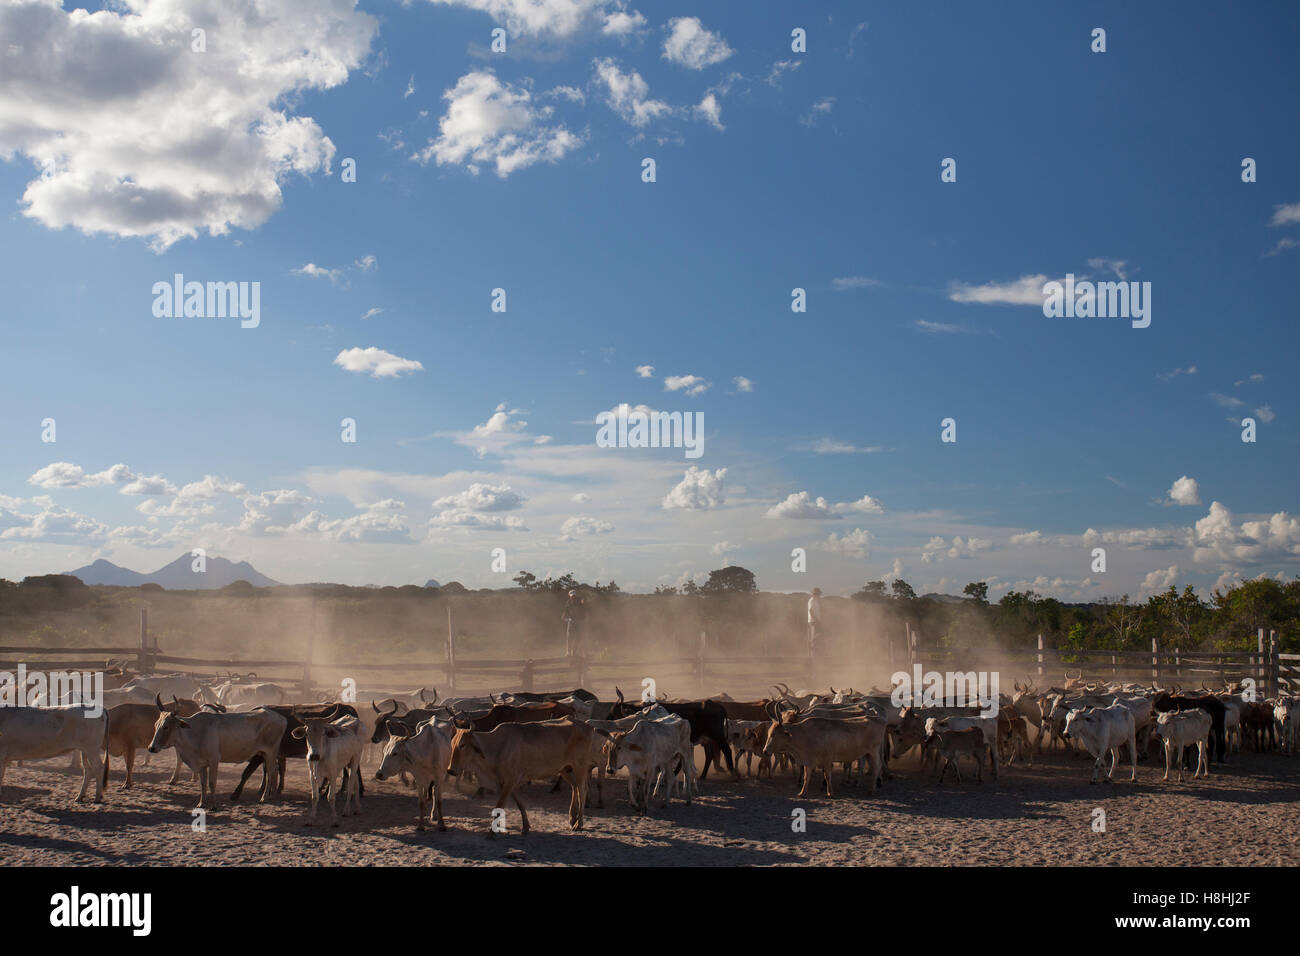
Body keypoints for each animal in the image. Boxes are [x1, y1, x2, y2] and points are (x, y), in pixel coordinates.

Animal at [147, 700, 286, 808]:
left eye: (166, 727)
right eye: (156, 724)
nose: (151, 748)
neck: (196, 732)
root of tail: (280, 718)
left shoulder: (214, 761)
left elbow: (212, 783)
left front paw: (213, 806)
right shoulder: (201, 764)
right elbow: (203, 783)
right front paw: (201, 803)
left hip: (271, 752)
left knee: (272, 772)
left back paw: (265, 798)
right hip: (265, 753)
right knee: (273, 771)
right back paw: (272, 796)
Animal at [446, 718, 601, 834]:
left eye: (462, 745)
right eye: (452, 743)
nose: (450, 770)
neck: (497, 746)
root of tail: (588, 726)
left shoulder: (509, 780)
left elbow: (500, 806)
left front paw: (491, 832)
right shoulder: (508, 781)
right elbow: (520, 803)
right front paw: (526, 826)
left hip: (580, 767)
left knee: (582, 790)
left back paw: (578, 824)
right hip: (565, 769)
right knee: (575, 787)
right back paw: (572, 818)